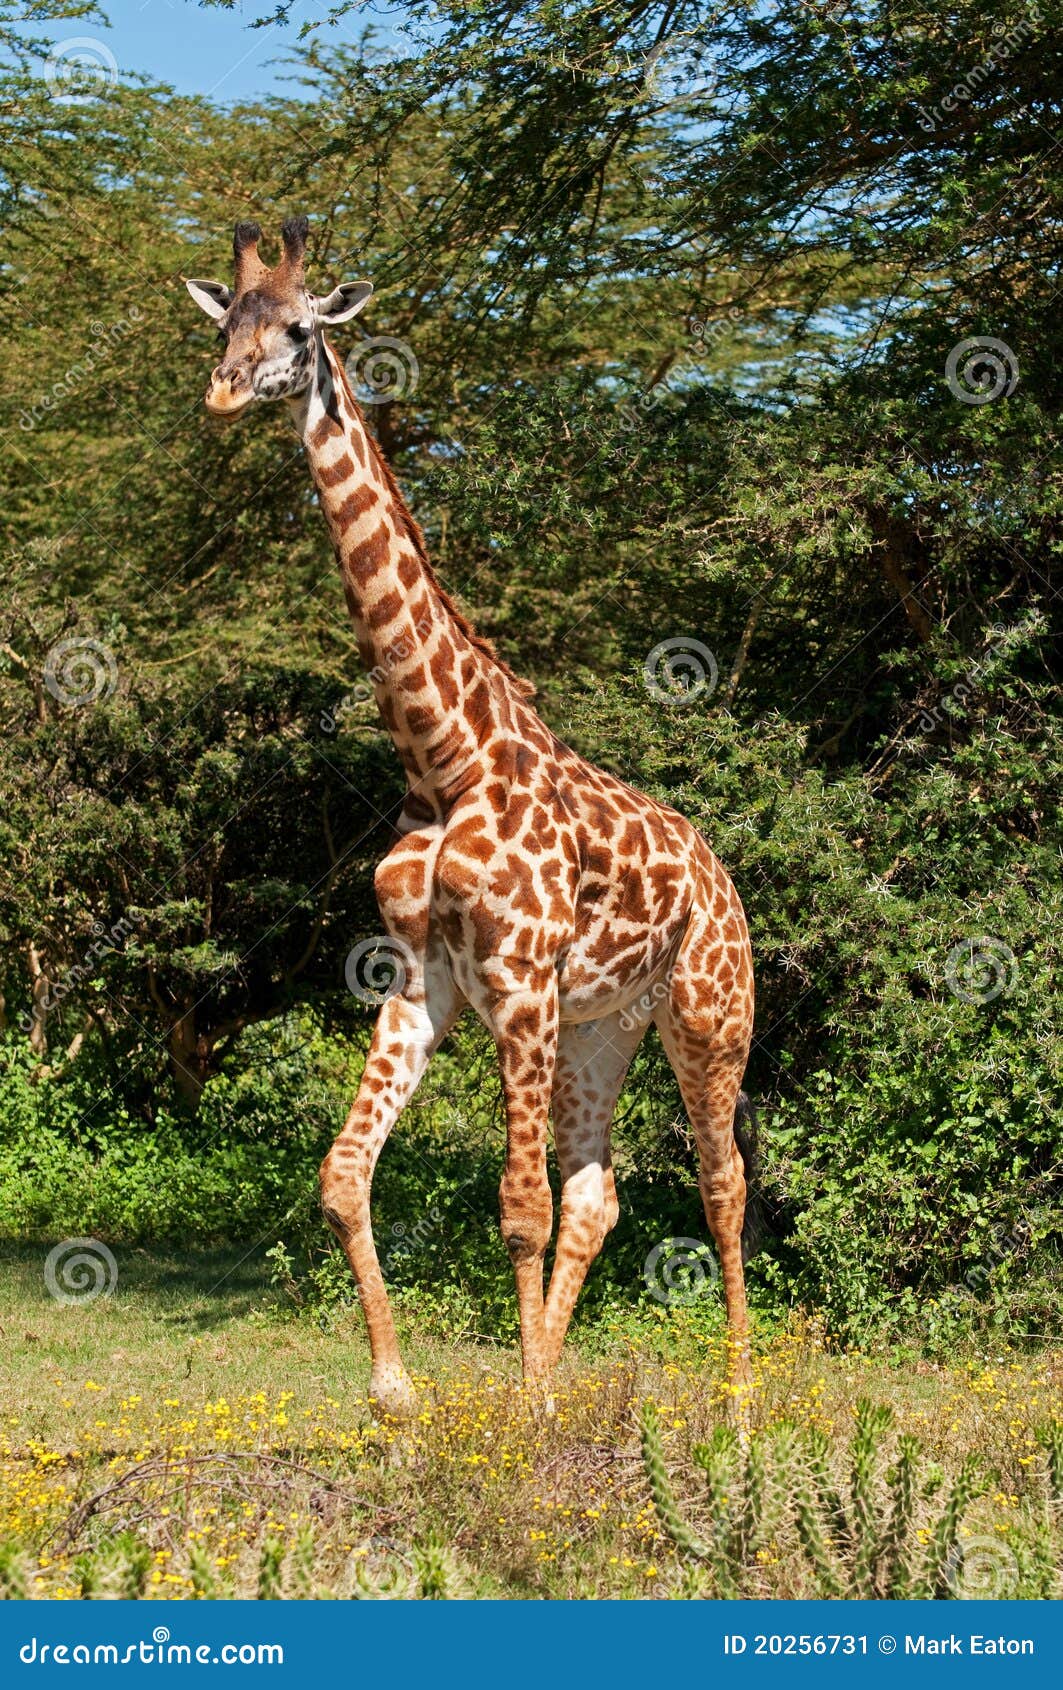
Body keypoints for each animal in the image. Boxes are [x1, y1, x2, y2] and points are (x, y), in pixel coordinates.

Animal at [186, 217, 756, 1417]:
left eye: (296, 329)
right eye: (223, 326)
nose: (222, 392)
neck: (442, 755)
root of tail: (721, 874)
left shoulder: (520, 978)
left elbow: (516, 1207)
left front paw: (528, 1410)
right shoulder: (425, 974)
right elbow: (344, 1174)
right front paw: (400, 1389)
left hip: (705, 1014)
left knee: (720, 1183)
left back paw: (739, 1395)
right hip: (604, 1025)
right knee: (600, 1192)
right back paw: (578, 1369)